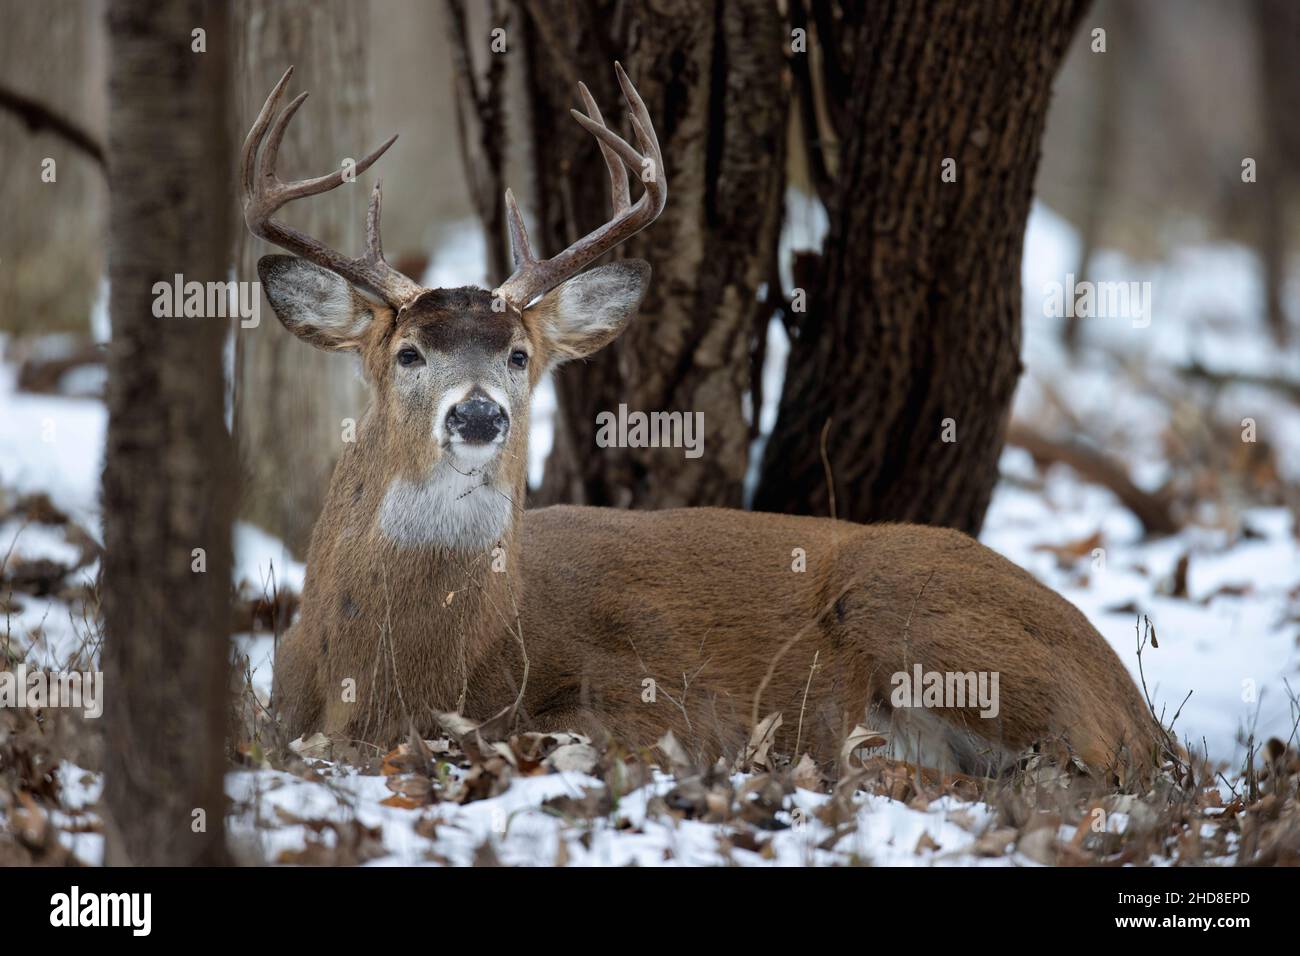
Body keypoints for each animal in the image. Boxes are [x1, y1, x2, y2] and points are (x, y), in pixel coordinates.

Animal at [241, 65, 1170, 782]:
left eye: (518, 355)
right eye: (408, 353)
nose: (477, 414)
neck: (390, 675)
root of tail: (1137, 707)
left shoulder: (661, 701)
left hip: (919, 607)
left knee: (1069, 772)